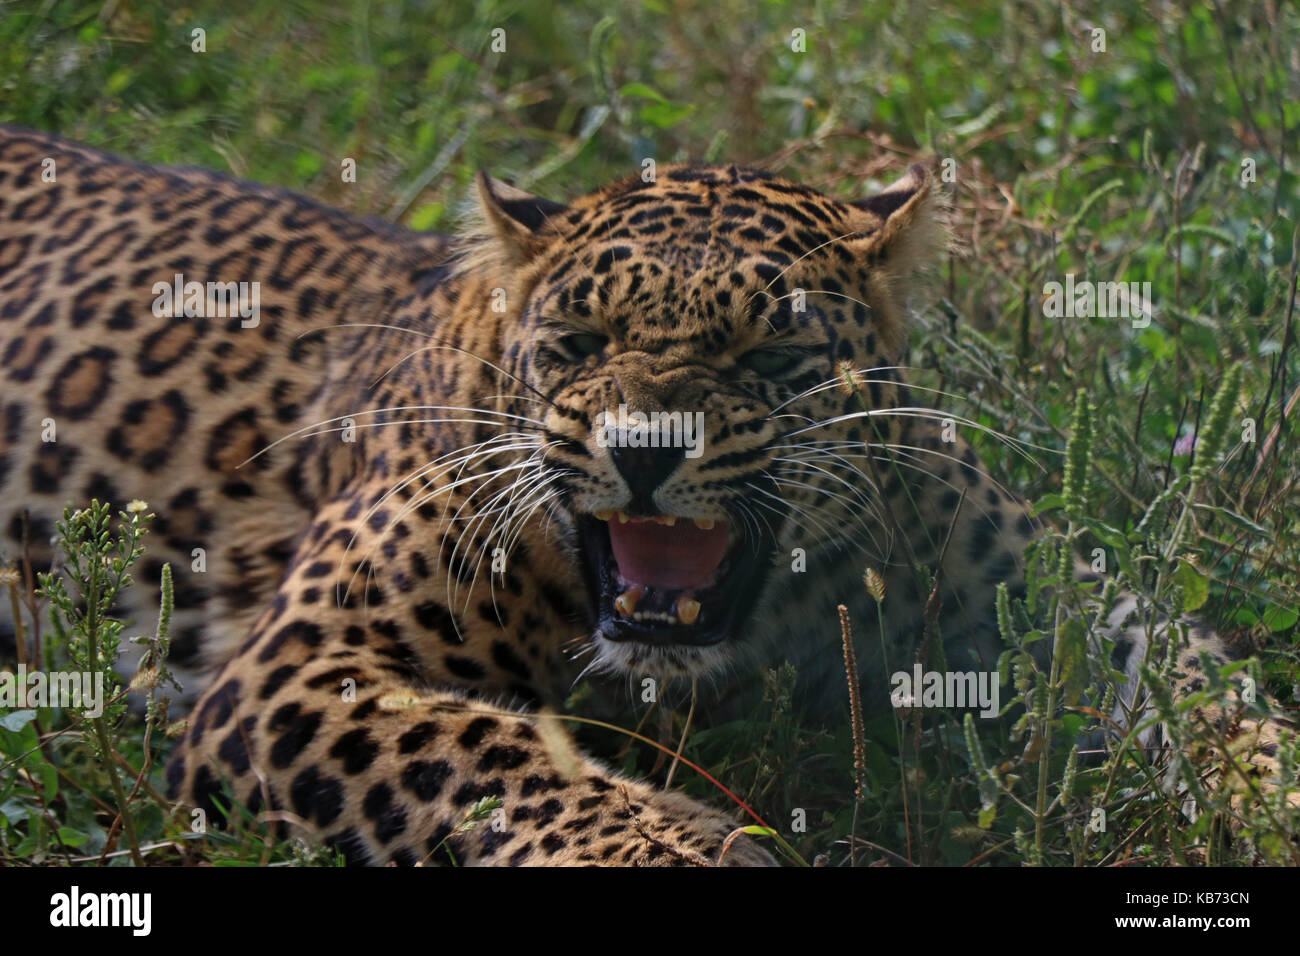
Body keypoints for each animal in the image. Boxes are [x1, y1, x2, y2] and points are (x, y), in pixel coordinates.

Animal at [0, 123, 1293, 866]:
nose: (644, 450)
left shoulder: (1045, 603)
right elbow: (484, 749)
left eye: (771, 355)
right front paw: (684, 850)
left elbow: (1201, 687)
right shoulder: (293, 666)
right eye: (578, 343)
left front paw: (1268, 797)